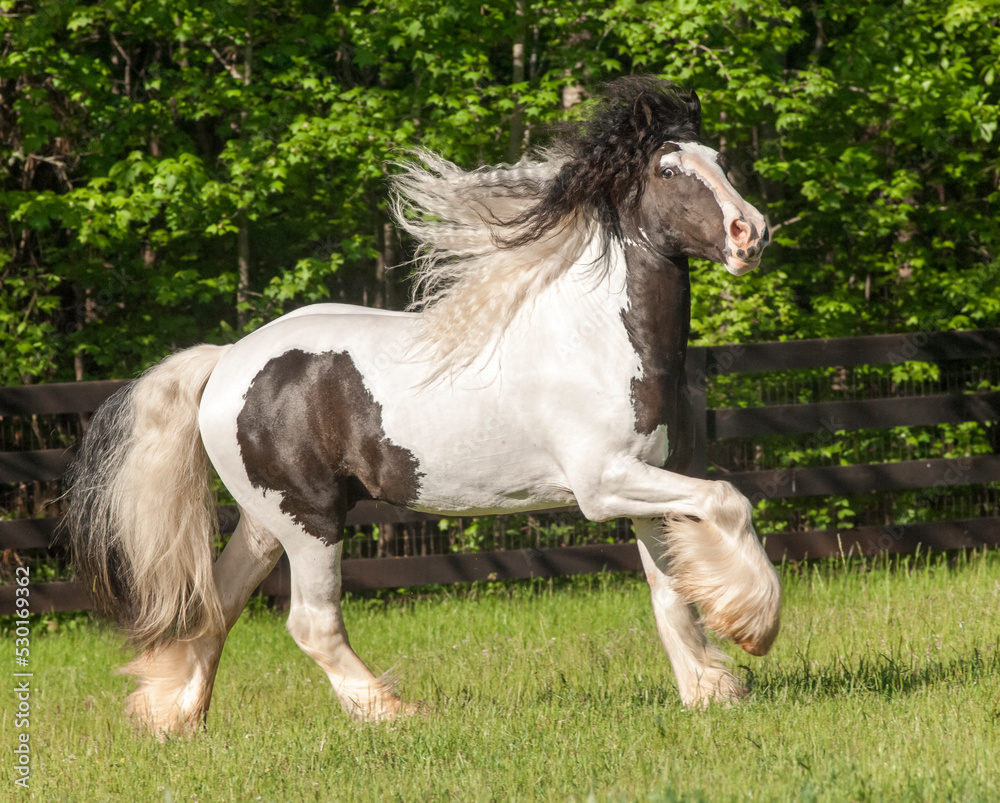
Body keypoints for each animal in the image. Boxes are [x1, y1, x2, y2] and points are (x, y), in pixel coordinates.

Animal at [67, 76, 780, 736]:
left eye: (717, 158)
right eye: (669, 170)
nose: (752, 233)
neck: (596, 340)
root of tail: (225, 362)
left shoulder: (646, 484)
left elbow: (671, 592)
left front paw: (709, 692)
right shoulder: (604, 484)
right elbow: (728, 500)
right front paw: (756, 629)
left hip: (267, 521)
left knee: (219, 602)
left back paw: (174, 717)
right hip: (310, 519)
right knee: (311, 621)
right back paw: (392, 712)